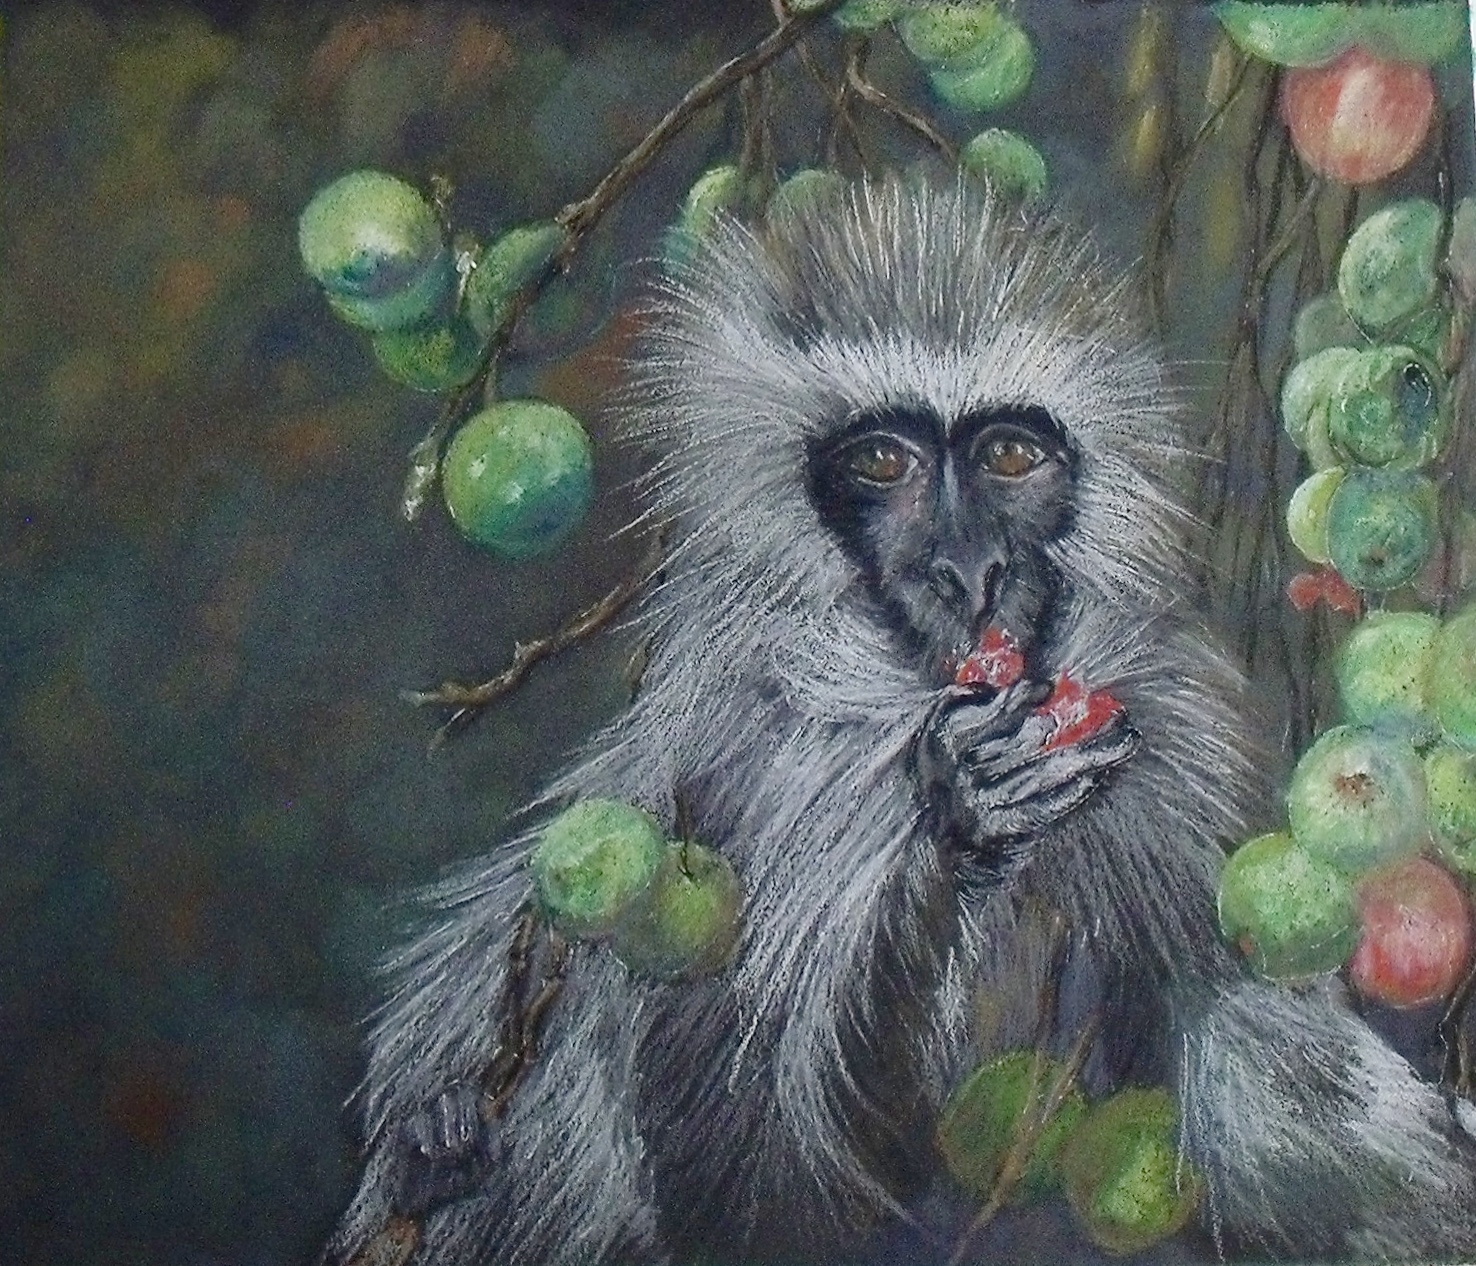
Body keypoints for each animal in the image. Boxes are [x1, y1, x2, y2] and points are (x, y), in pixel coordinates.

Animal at [326, 176, 1476, 1265]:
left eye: (1009, 456)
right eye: (883, 463)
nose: (971, 570)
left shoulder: (1177, 732)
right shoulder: (748, 749)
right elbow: (755, 1170)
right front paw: (962, 820)